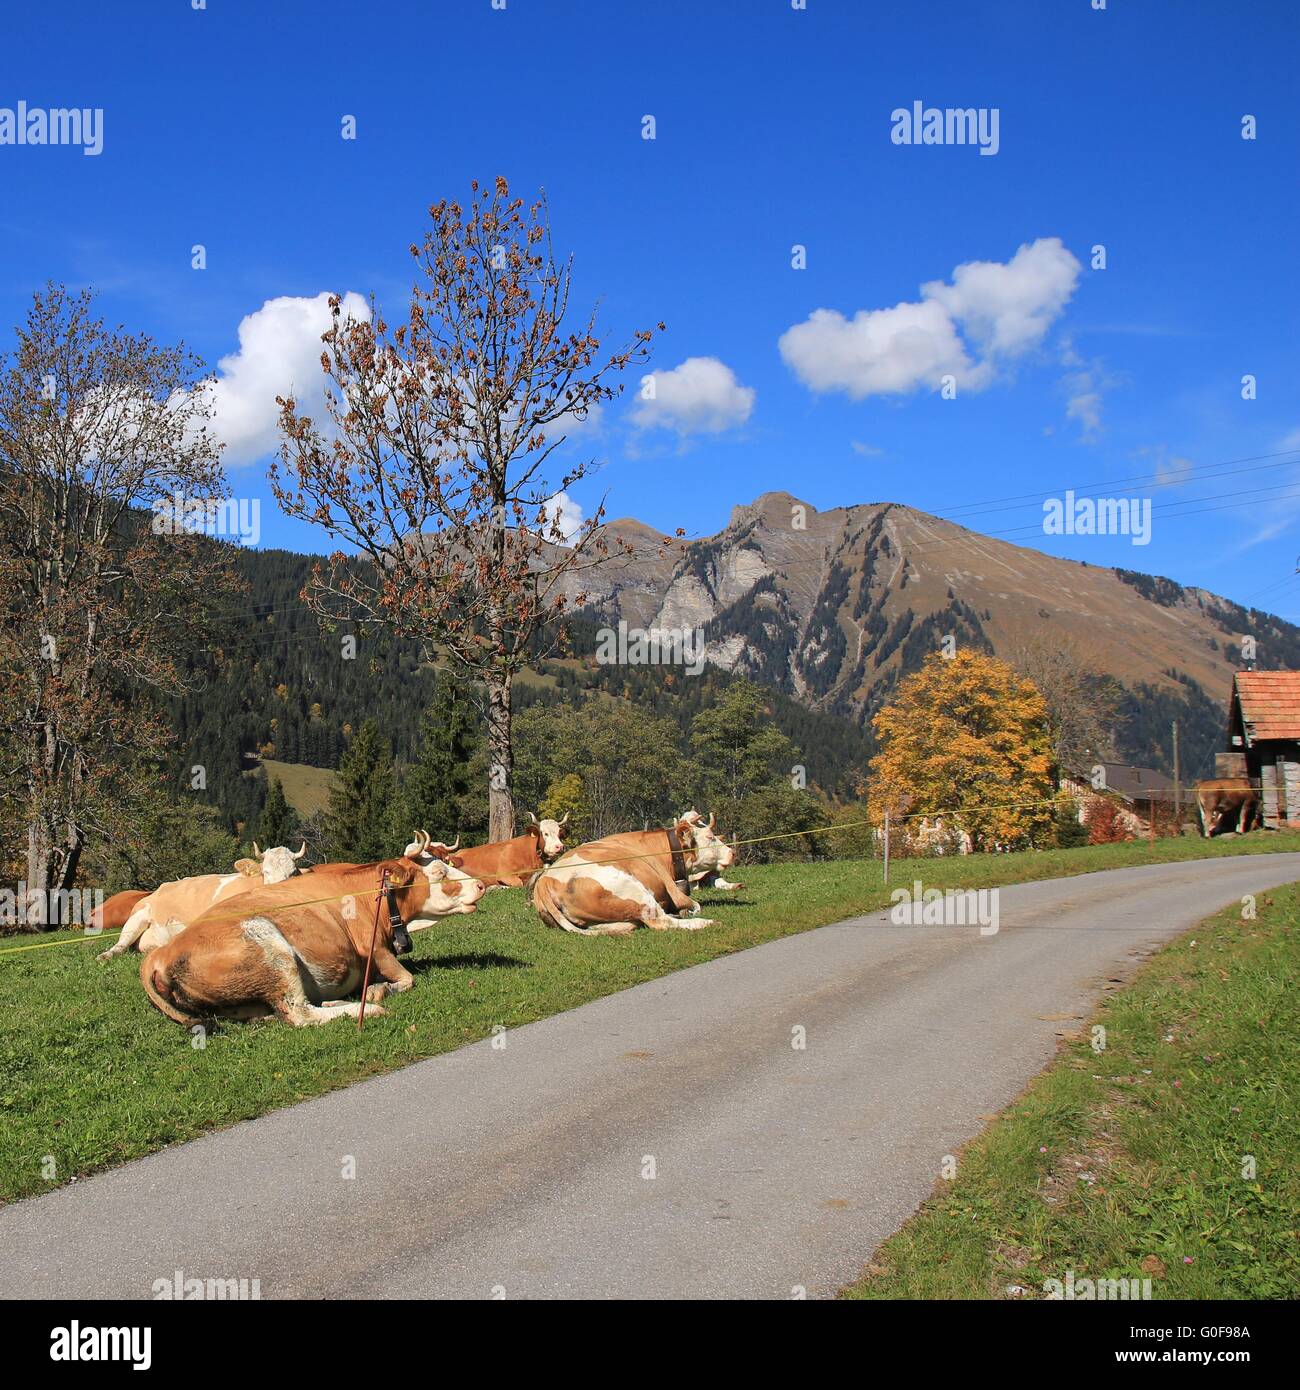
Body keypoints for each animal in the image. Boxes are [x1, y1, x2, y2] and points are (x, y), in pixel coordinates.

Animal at [97, 842, 308, 961]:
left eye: (293, 873)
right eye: (265, 872)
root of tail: (158, 888)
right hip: (138, 917)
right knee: (120, 945)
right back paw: (106, 955)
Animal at [139, 854, 485, 1028]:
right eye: (439, 872)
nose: (481, 884)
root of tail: (162, 952)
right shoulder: (374, 949)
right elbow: (408, 979)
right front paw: (377, 991)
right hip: (270, 946)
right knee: (299, 1014)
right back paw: (362, 1008)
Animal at [529, 813, 733, 936]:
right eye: (710, 837)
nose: (732, 852)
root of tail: (545, 881)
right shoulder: (674, 891)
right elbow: (696, 905)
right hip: (633, 890)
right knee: (660, 921)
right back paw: (707, 923)